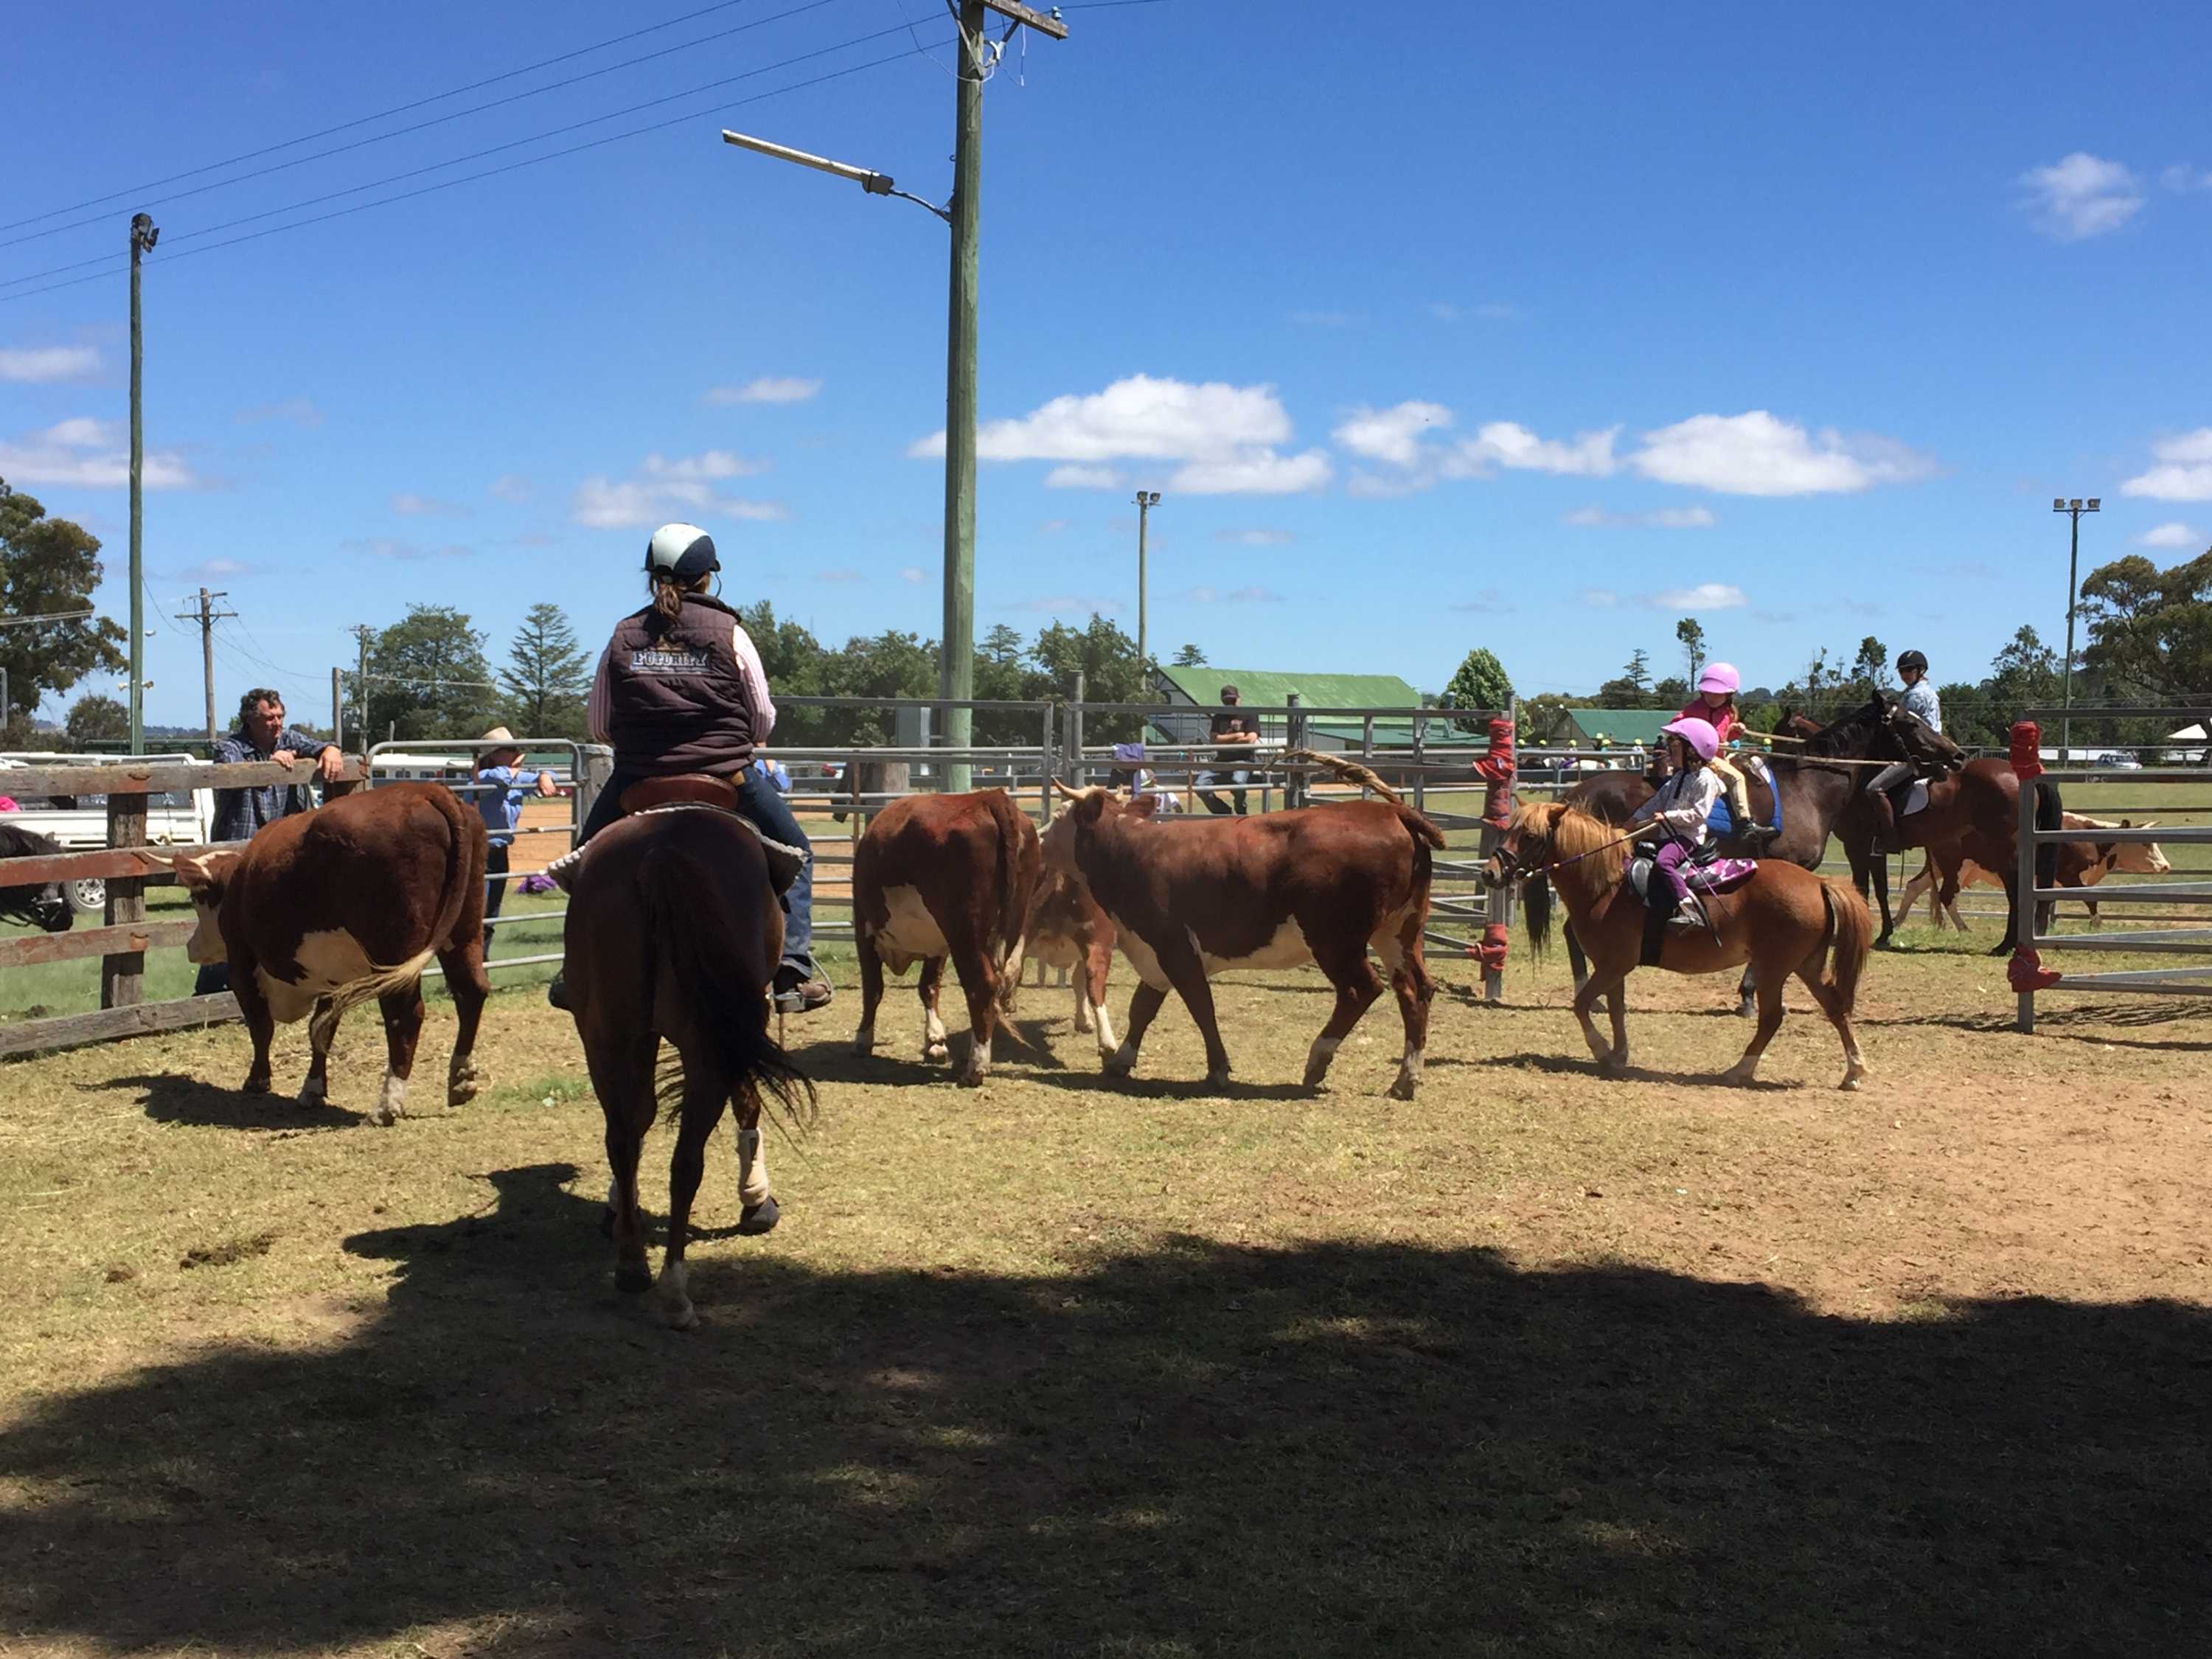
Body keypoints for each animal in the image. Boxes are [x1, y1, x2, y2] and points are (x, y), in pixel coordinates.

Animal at [166, 782, 490, 1125]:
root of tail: (425, 790)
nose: (191, 946)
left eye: (197, 898)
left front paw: (257, 1080)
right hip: (464, 931)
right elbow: (320, 1028)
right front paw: (313, 1088)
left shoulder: (241, 960)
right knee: (471, 991)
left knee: (405, 1014)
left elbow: (261, 1026)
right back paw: (461, 1079)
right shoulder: (330, 978)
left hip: (393, 950)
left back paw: (387, 1104)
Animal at [852, 788, 1041, 1085]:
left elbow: (873, 989)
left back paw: (976, 1067)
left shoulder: (865, 930)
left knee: (982, 986)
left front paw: (863, 1039)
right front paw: (935, 1039)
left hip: (964, 930)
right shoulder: (938, 945)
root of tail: (989, 796)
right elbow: (928, 987)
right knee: (999, 984)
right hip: (1010, 923)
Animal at [1043, 762, 1443, 1099]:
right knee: (1414, 991)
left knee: (1361, 990)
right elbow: (1142, 1007)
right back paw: (1405, 1079)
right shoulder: (1154, 955)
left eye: (1060, 815)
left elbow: (1200, 1007)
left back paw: (1318, 1061)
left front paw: (1218, 1069)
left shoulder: (1175, 950)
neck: (1131, 850)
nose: (1041, 834)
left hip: (1335, 942)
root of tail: (1391, 811)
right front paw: (1121, 1060)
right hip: (1399, 932)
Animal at [1897, 814, 2171, 932]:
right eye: (2145, 843)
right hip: (1956, 867)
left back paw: (1899, 922)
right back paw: (1964, 928)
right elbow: (2090, 898)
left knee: (1914, 886)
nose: (2166, 866)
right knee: (1947, 896)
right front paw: (2096, 923)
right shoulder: (2071, 877)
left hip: (1939, 867)